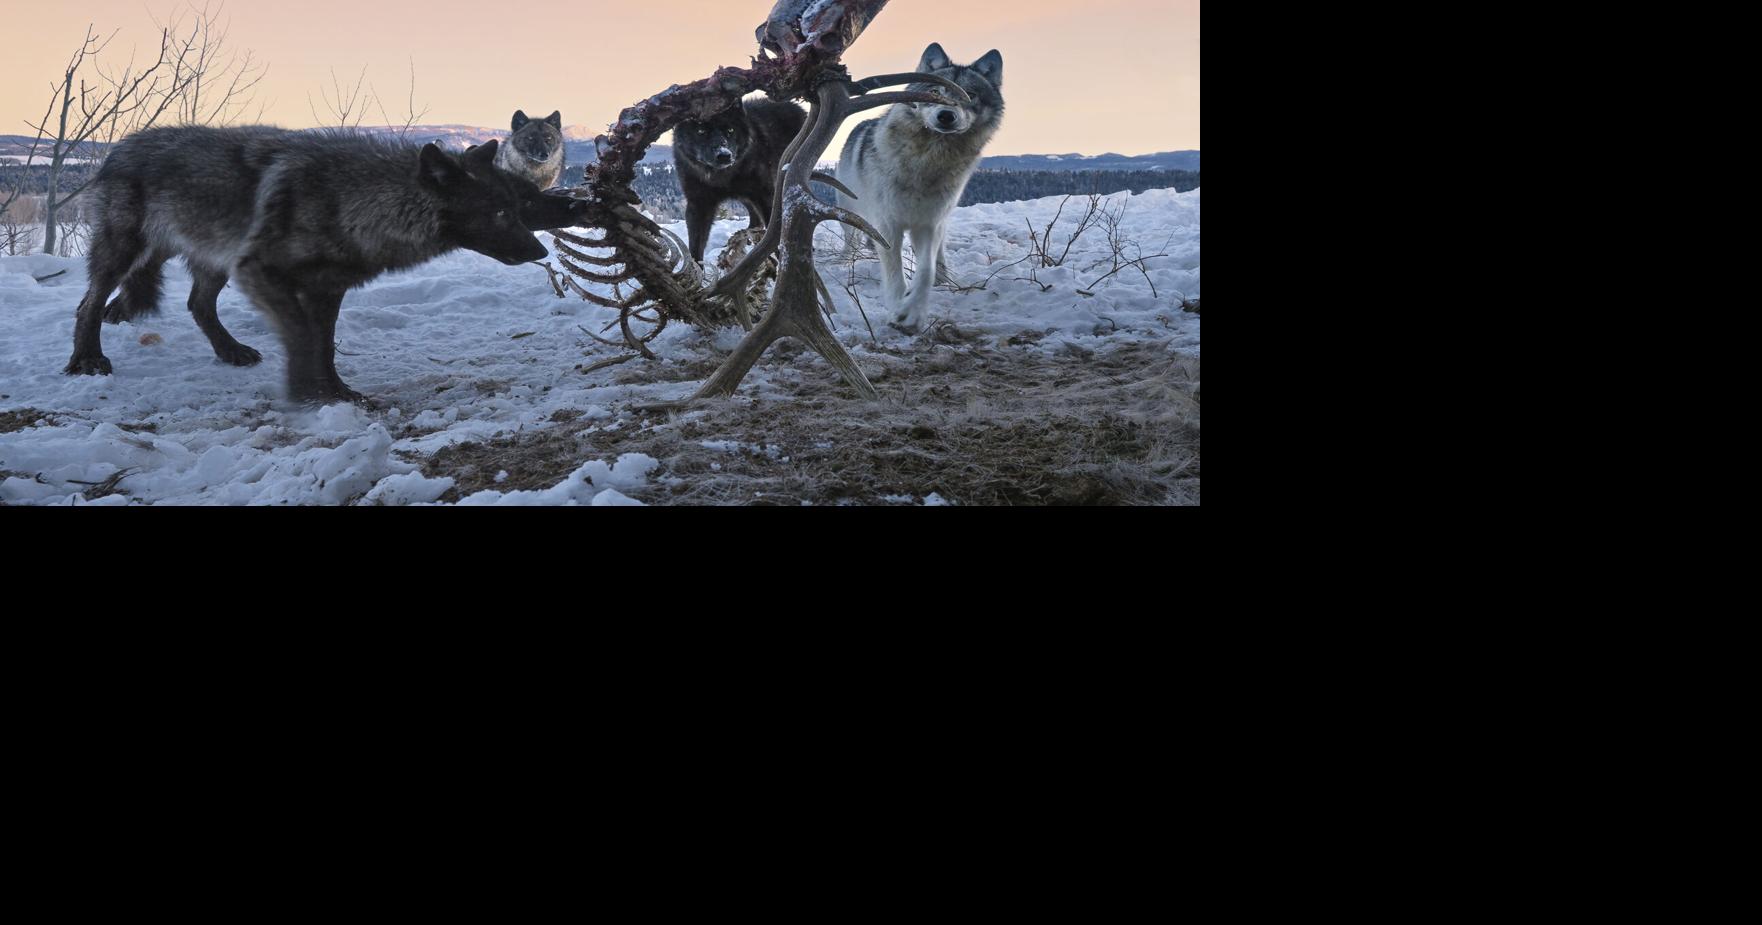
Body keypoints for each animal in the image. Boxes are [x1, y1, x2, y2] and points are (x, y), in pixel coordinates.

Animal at [68, 126, 588, 404]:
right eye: (500, 213)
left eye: (517, 208)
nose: (541, 253)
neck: (355, 201)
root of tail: (121, 145)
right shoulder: (264, 274)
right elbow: (302, 338)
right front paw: (306, 392)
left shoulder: (326, 289)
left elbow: (325, 345)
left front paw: (336, 393)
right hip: (125, 250)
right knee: (88, 303)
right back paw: (87, 360)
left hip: (214, 259)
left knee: (198, 304)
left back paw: (231, 352)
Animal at [673, 98, 808, 262]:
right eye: (701, 131)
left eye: (730, 130)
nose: (724, 155)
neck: (721, 177)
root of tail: (795, 105)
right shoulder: (698, 204)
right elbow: (695, 247)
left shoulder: (765, 195)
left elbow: (773, 232)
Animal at [836, 43, 1004, 332]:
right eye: (934, 92)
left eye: (970, 95)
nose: (946, 116)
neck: (927, 162)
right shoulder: (888, 224)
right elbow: (894, 271)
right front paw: (897, 307)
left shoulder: (929, 224)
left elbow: (926, 271)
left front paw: (913, 312)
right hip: (851, 213)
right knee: (852, 240)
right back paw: (846, 263)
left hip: (942, 221)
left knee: (939, 256)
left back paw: (946, 279)